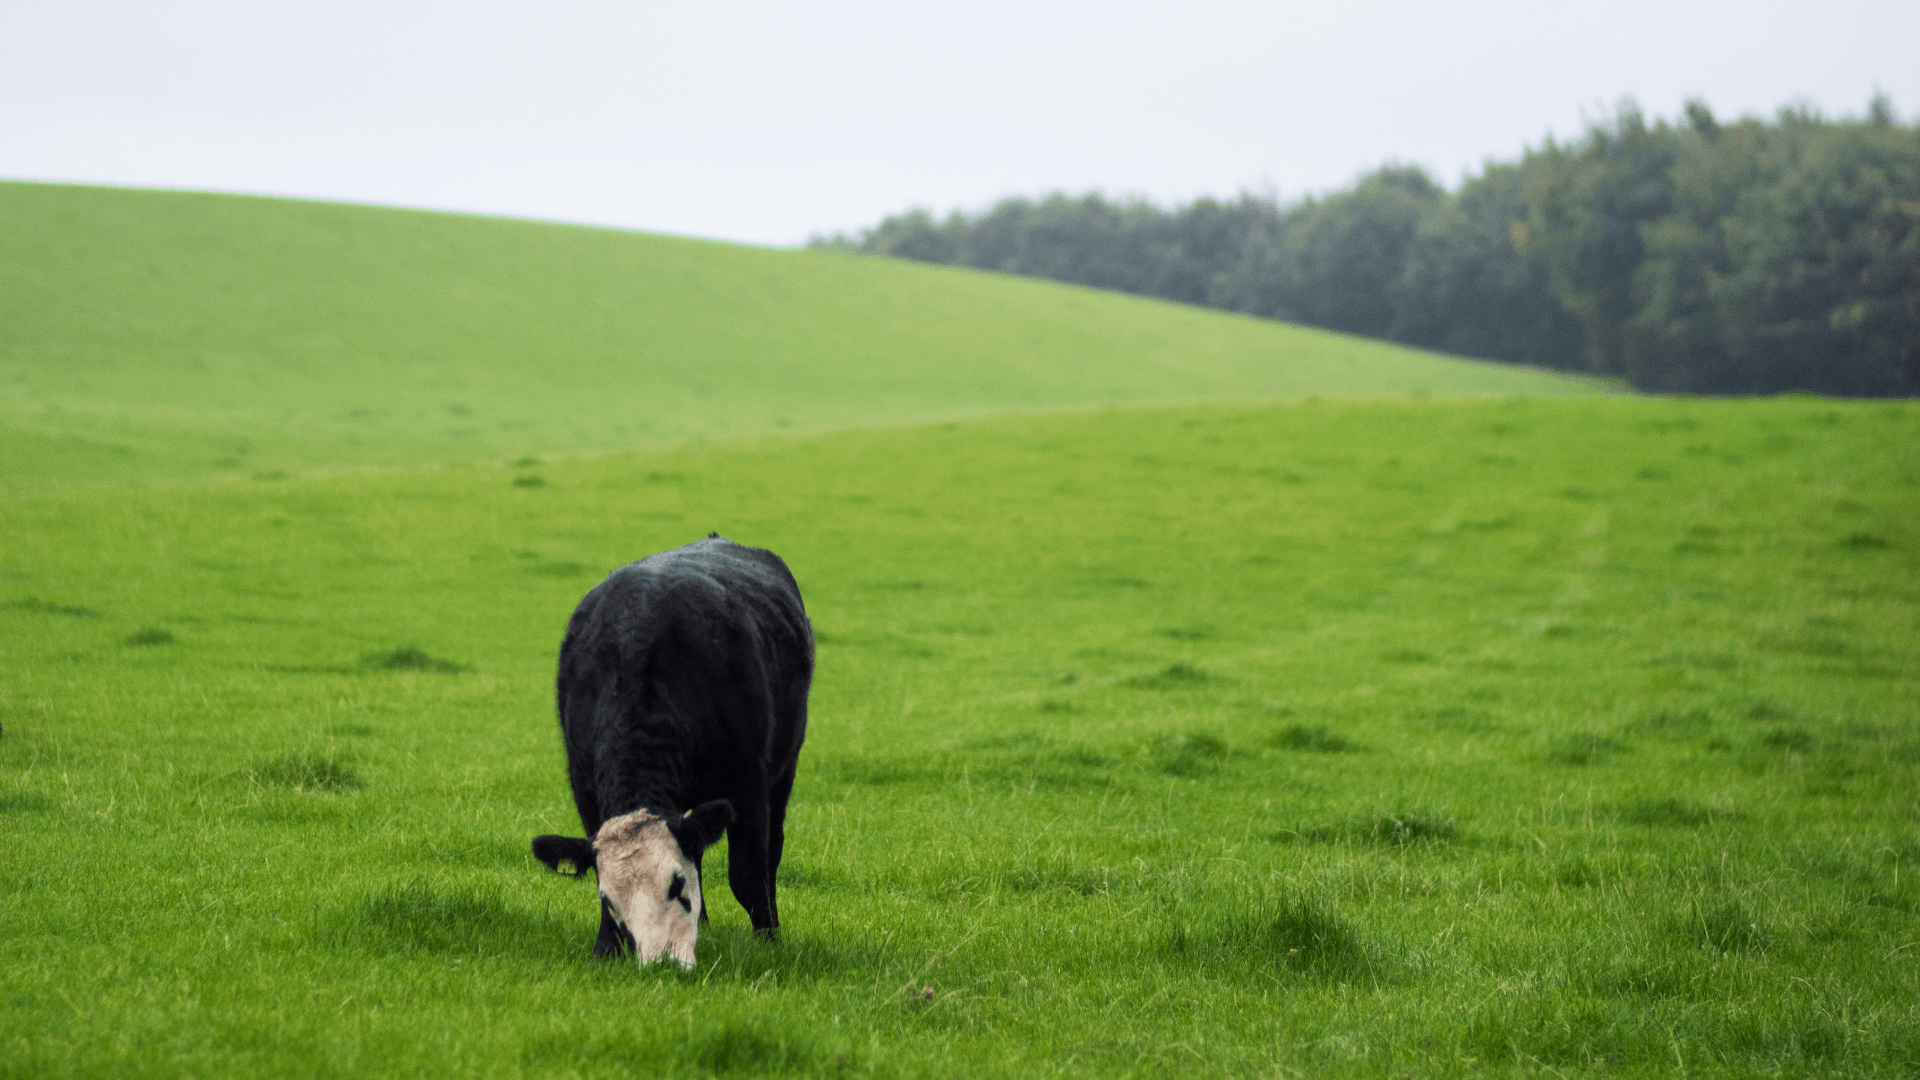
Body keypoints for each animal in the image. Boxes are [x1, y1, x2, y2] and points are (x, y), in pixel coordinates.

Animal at [530, 534, 813, 968]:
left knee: (771, 854)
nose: (663, 959)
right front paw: (604, 949)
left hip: (783, 771)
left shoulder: (747, 783)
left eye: (678, 886)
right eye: (611, 899)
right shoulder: (584, 784)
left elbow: (748, 873)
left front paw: (768, 943)